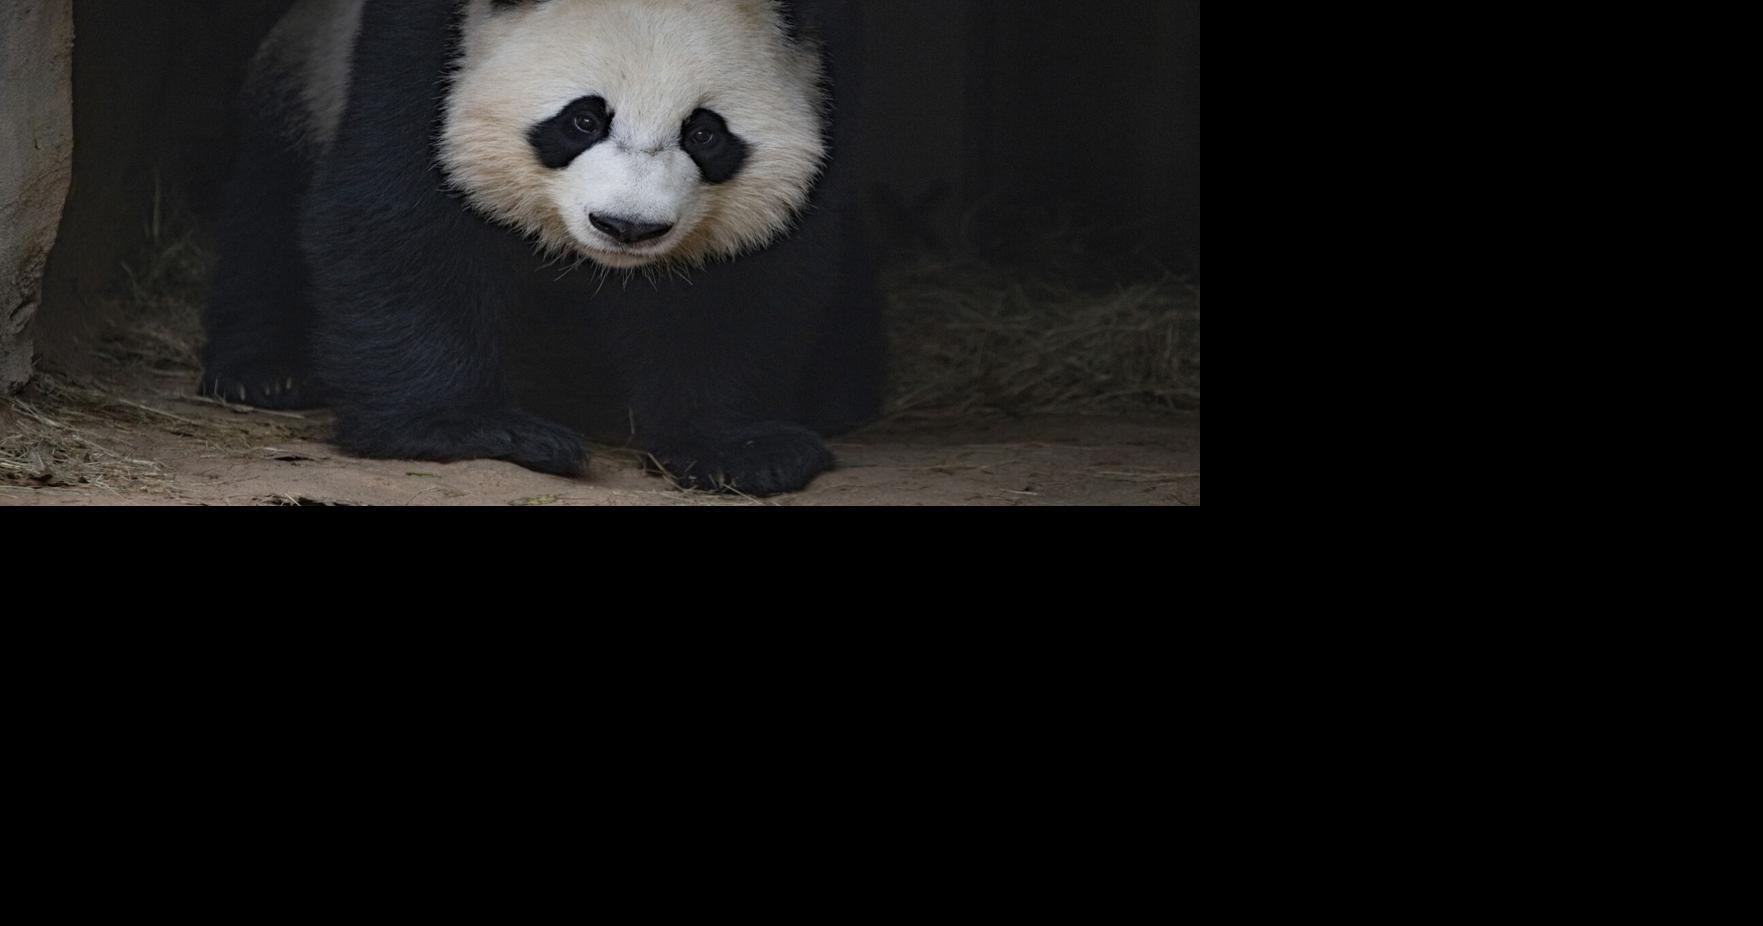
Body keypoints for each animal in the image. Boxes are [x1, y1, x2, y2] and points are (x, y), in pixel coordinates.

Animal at [200, 0, 883, 495]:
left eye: (704, 133)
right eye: (584, 119)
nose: (627, 226)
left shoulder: (829, 76)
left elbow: (747, 281)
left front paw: (737, 450)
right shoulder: (415, 54)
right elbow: (399, 220)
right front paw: (470, 429)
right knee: (263, 216)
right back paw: (267, 375)